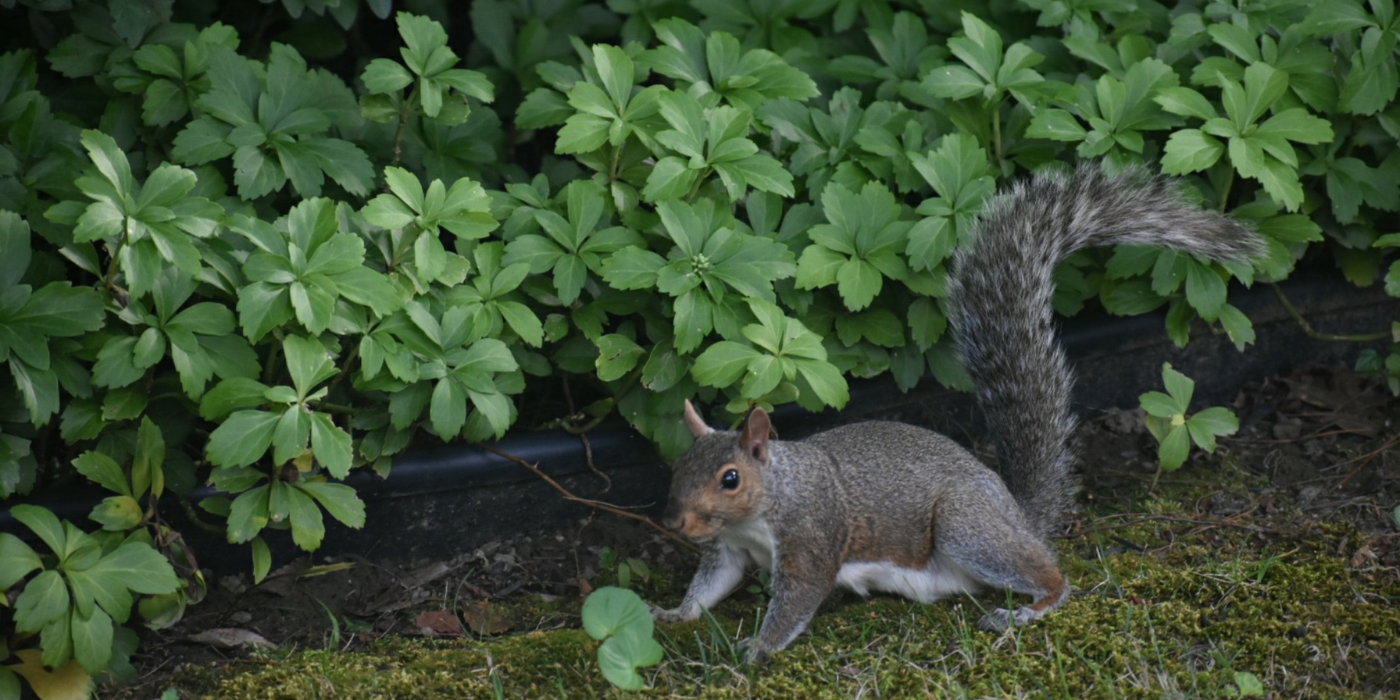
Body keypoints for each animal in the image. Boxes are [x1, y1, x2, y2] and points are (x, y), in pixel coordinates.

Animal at [649, 163, 1266, 664]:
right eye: (678, 467)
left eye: (730, 478)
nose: (675, 522)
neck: (766, 501)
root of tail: (1018, 516)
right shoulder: (730, 550)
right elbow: (712, 584)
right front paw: (673, 615)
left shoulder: (810, 536)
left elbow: (796, 600)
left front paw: (757, 647)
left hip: (966, 525)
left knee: (1051, 574)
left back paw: (1031, 607)